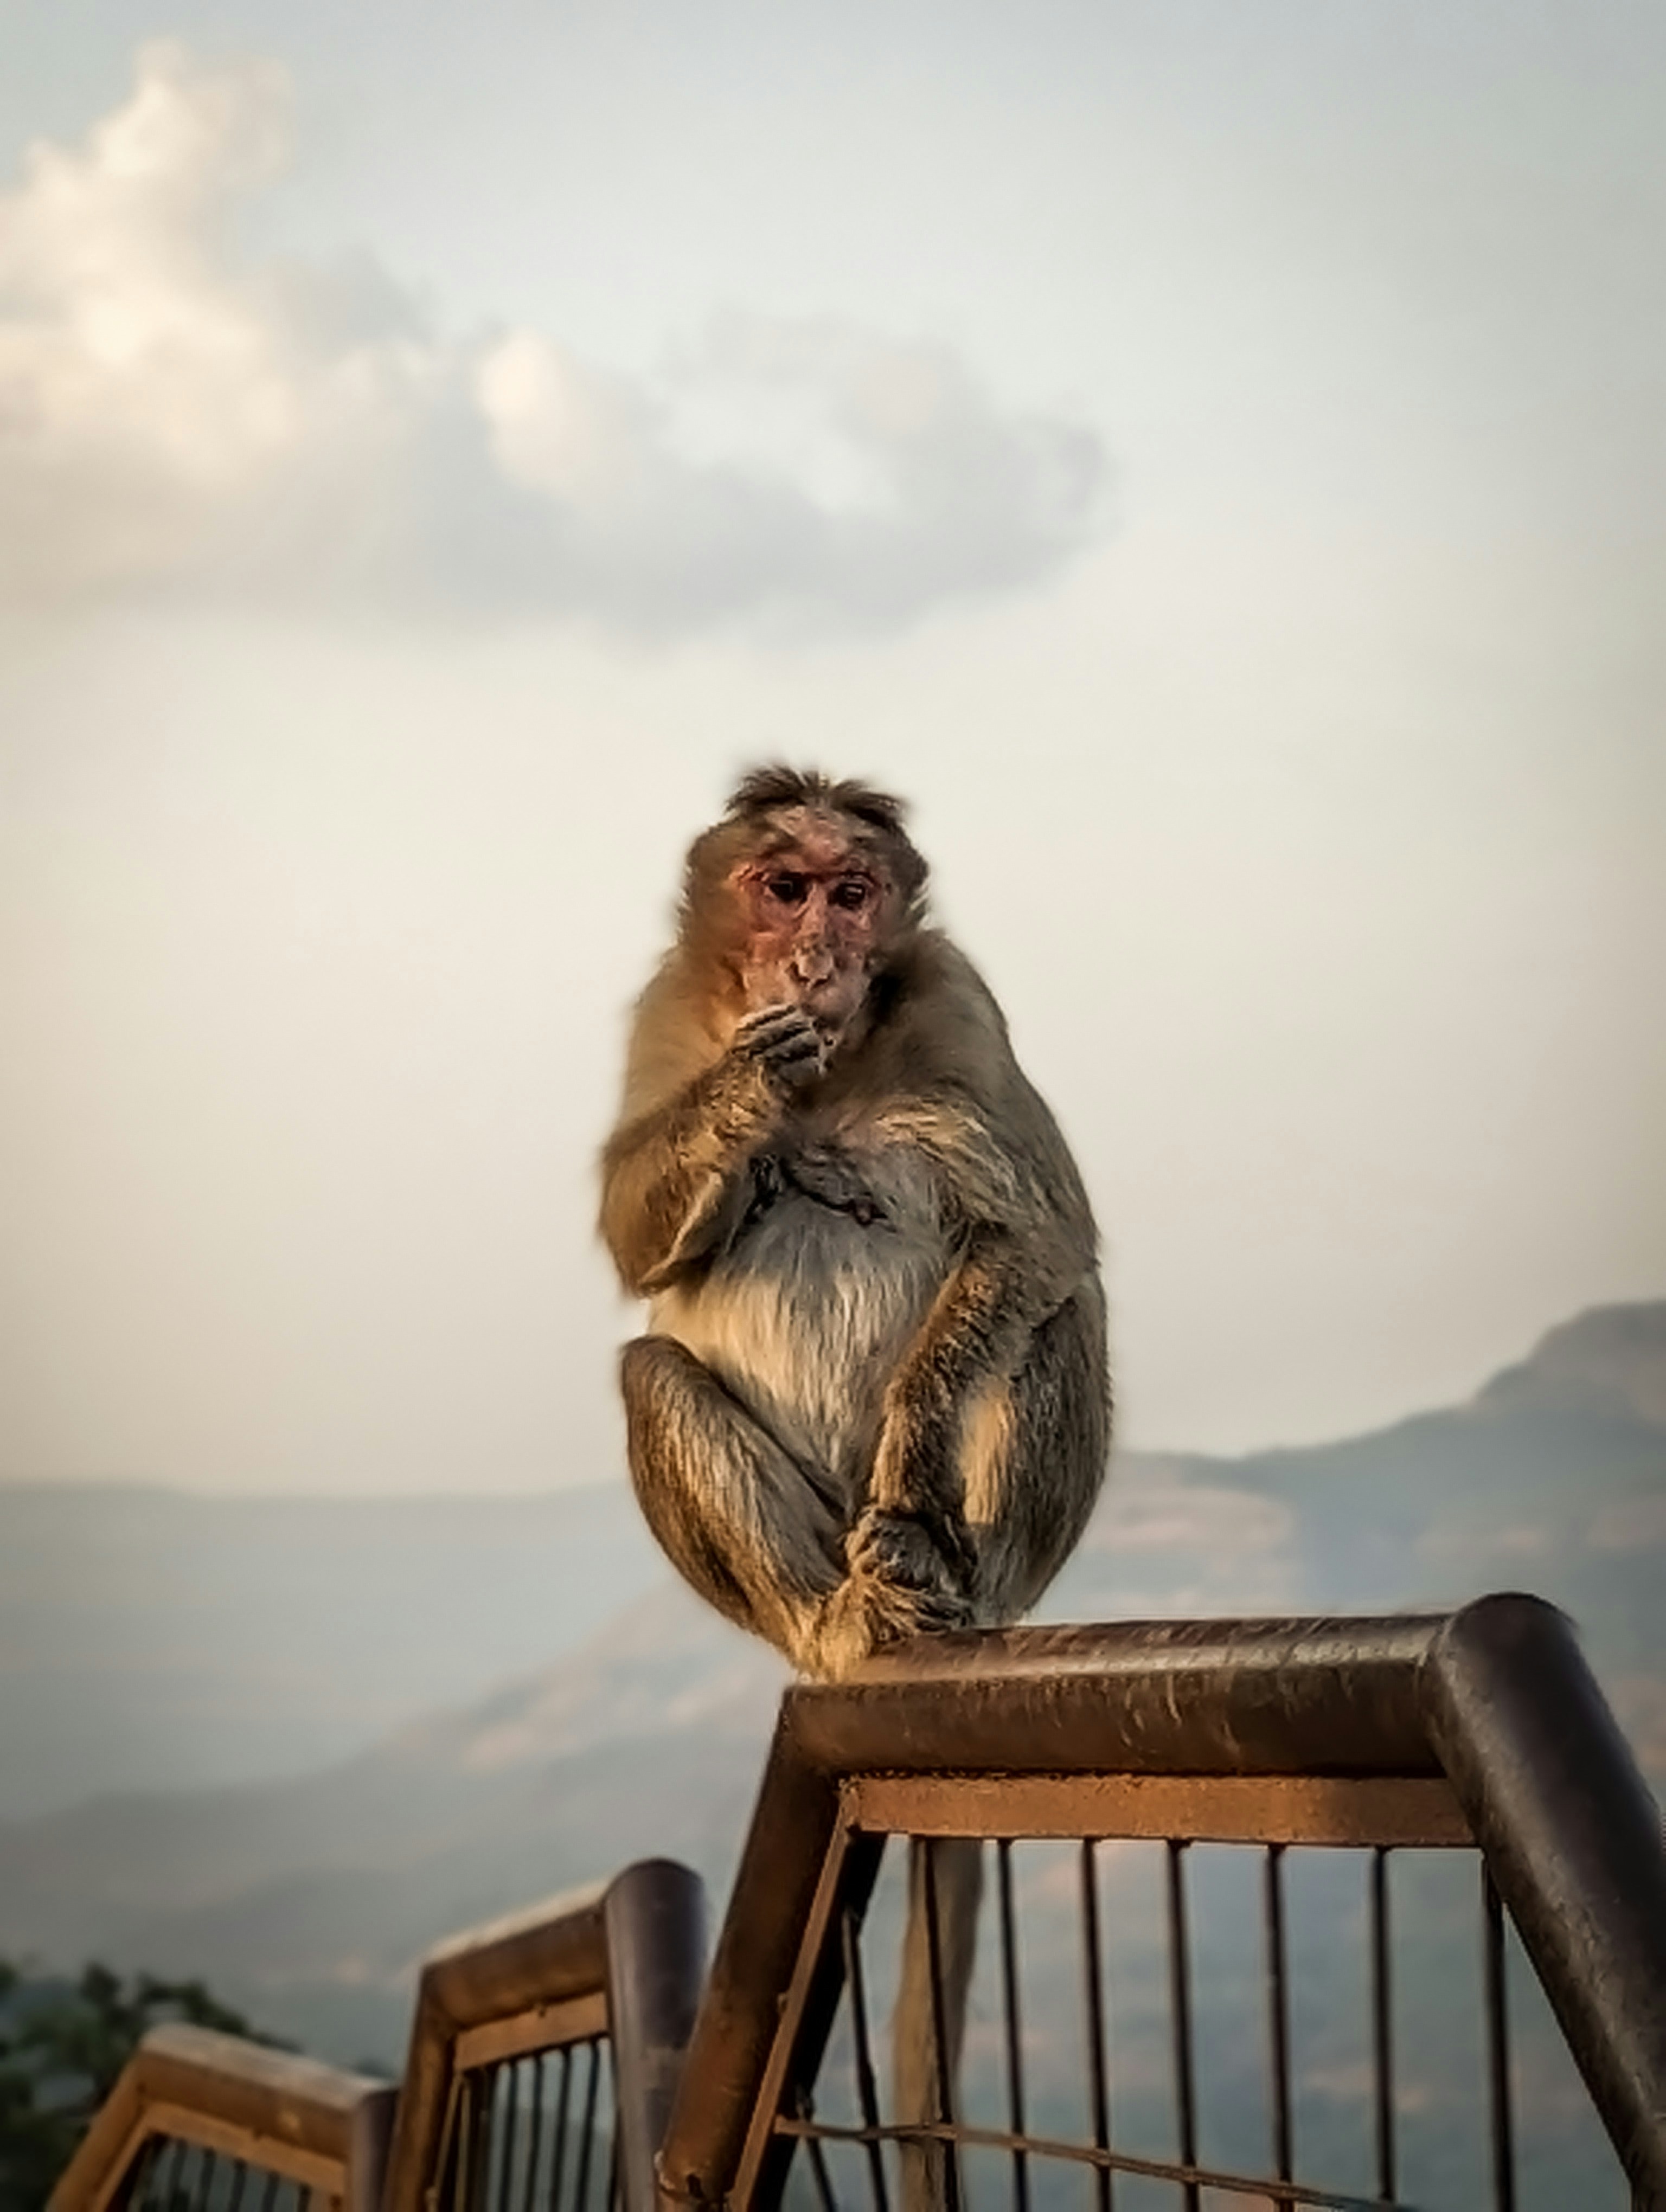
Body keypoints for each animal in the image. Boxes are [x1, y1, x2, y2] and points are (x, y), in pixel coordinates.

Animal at [598, 766, 1110, 2202]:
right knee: (650, 1368)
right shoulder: (666, 1002)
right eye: (784, 888)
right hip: (803, 1554)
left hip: (1008, 1547)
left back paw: (934, 1577)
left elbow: (1038, 1234)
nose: (818, 955)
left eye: (853, 891)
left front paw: (913, 1453)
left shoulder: (953, 997)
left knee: (1052, 1305)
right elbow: (632, 1231)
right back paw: (841, 1627)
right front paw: (742, 1088)